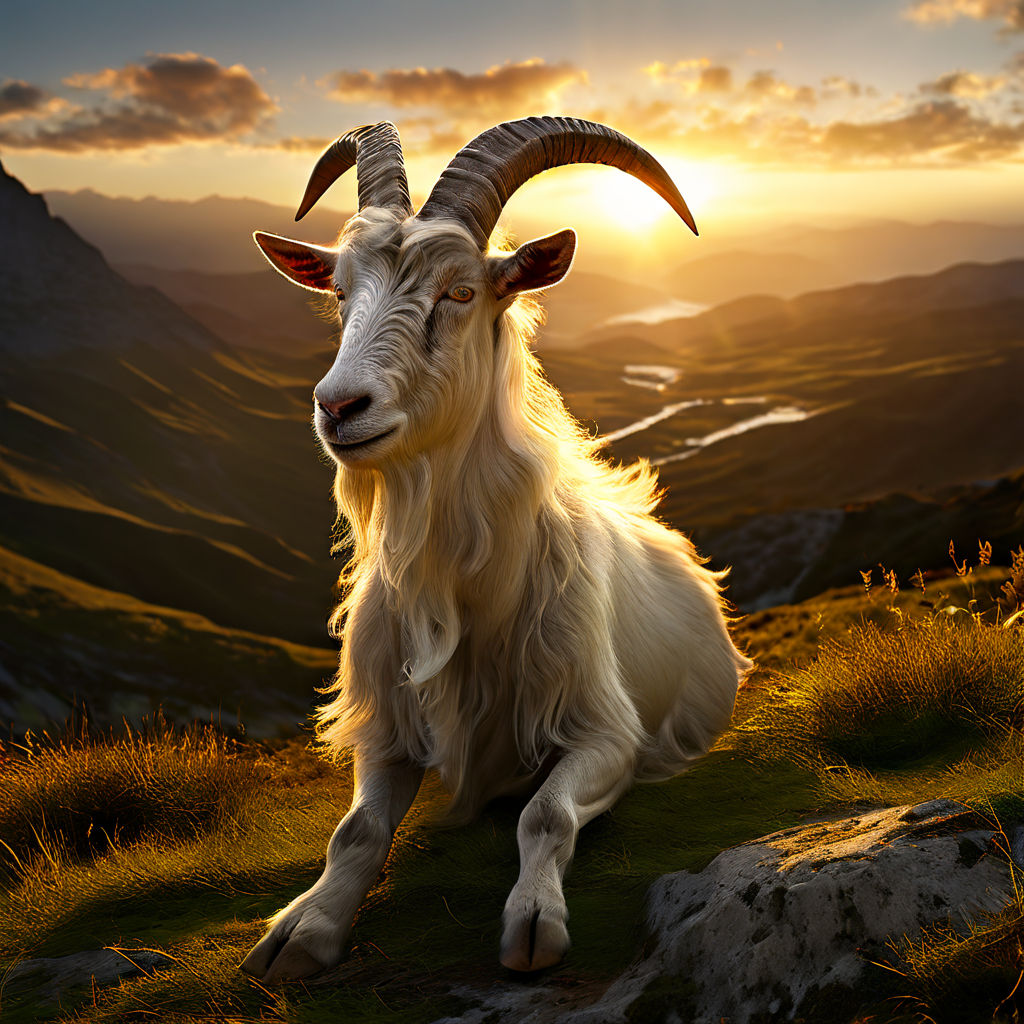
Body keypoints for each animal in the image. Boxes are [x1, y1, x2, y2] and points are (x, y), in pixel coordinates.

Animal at [241, 117, 750, 983]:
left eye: (460, 291)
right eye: (339, 292)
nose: (339, 406)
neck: (464, 589)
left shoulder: (605, 728)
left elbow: (543, 813)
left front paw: (534, 921)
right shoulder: (388, 727)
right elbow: (356, 830)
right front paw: (302, 930)